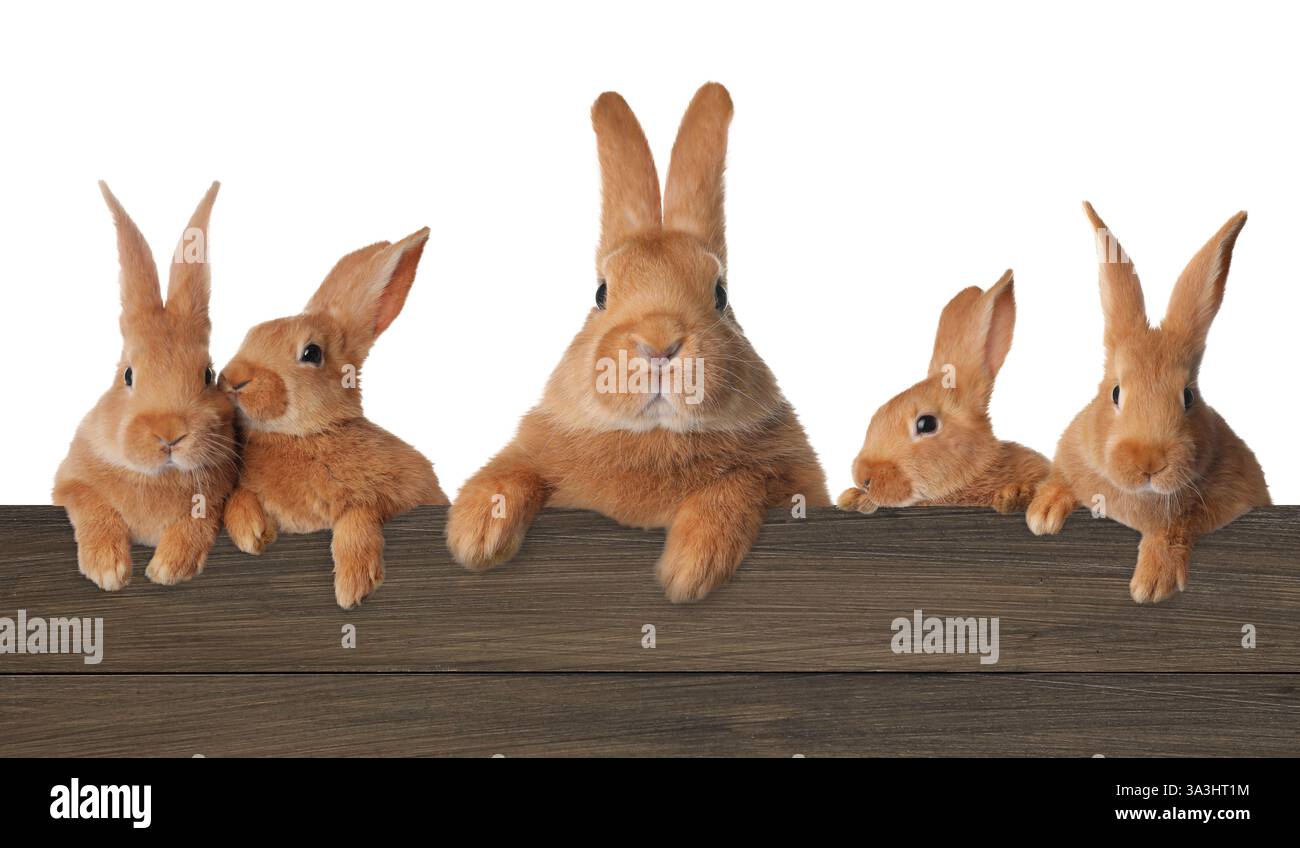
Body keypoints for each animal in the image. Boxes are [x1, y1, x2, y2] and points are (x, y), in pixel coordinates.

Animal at [53, 182, 238, 591]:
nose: (169, 434)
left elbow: (201, 517)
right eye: (127, 375)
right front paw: (107, 569)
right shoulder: (67, 483)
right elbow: (91, 504)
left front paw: (169, 568)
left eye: (207, 374)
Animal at [218, 227, 448, 609]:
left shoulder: (408, 493)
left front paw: (354, 583)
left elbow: (361, 509)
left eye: (312, 353)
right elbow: (241, 495)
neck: (303, 435)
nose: (234, 379)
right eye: (250, 334)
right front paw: (250, 531)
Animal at [446, 82, 830, 603]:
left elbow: (743, 479)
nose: (659, 344)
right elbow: (517, 467)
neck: (656, 437)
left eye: (721, 295)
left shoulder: (791, 477)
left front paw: (692, 568)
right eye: (600, 293)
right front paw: (476, 531)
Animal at [1026, 202, 1270, 604]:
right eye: (1115, 392)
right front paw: (1042, 514)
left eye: (1188, 396)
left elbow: (1175, 526)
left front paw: (1151, 585)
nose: (1150, 462)